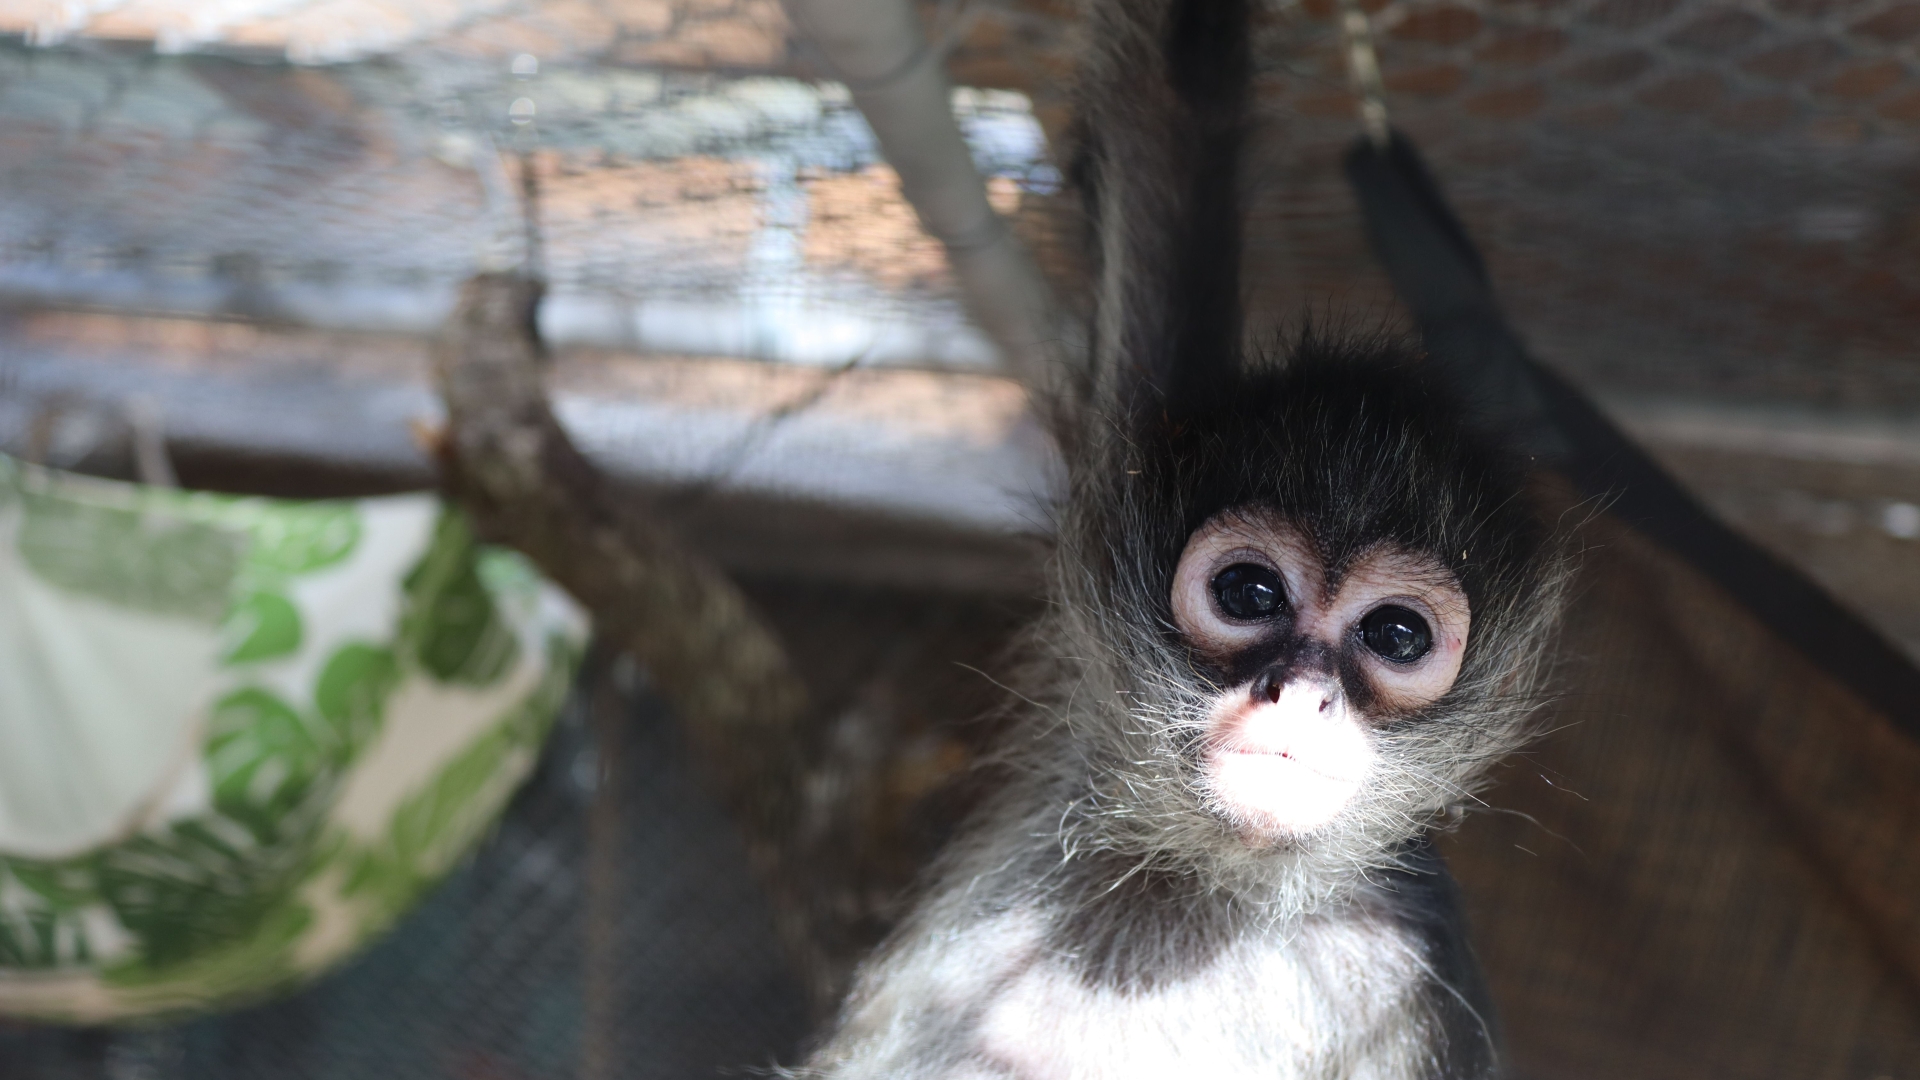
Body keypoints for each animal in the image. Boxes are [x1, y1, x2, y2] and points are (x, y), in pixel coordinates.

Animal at [795, 0, 1567, 1073]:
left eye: (1397, 636)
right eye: (1249, 594)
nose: (1303, 693)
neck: (1206, 881)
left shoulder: (1414, 982)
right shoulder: (1137, 442)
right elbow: (1173, 101)